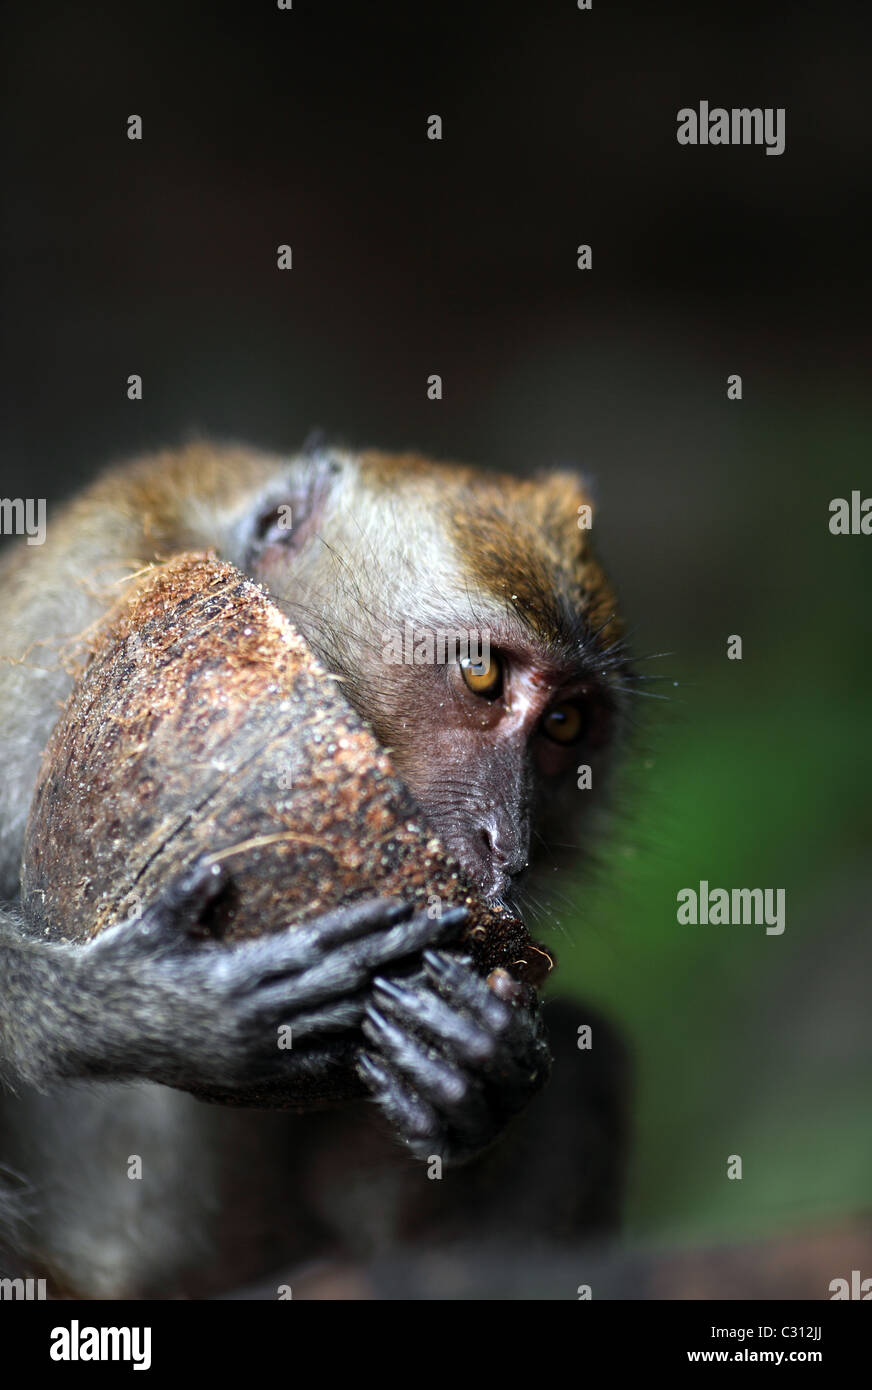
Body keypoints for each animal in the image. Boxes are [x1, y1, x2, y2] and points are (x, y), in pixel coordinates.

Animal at [0, 441, 632, 1297]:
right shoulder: (53, 636)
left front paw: (479, 1067)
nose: (512, 844)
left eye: (565, 724)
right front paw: (158, 1008)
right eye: (481, 674)